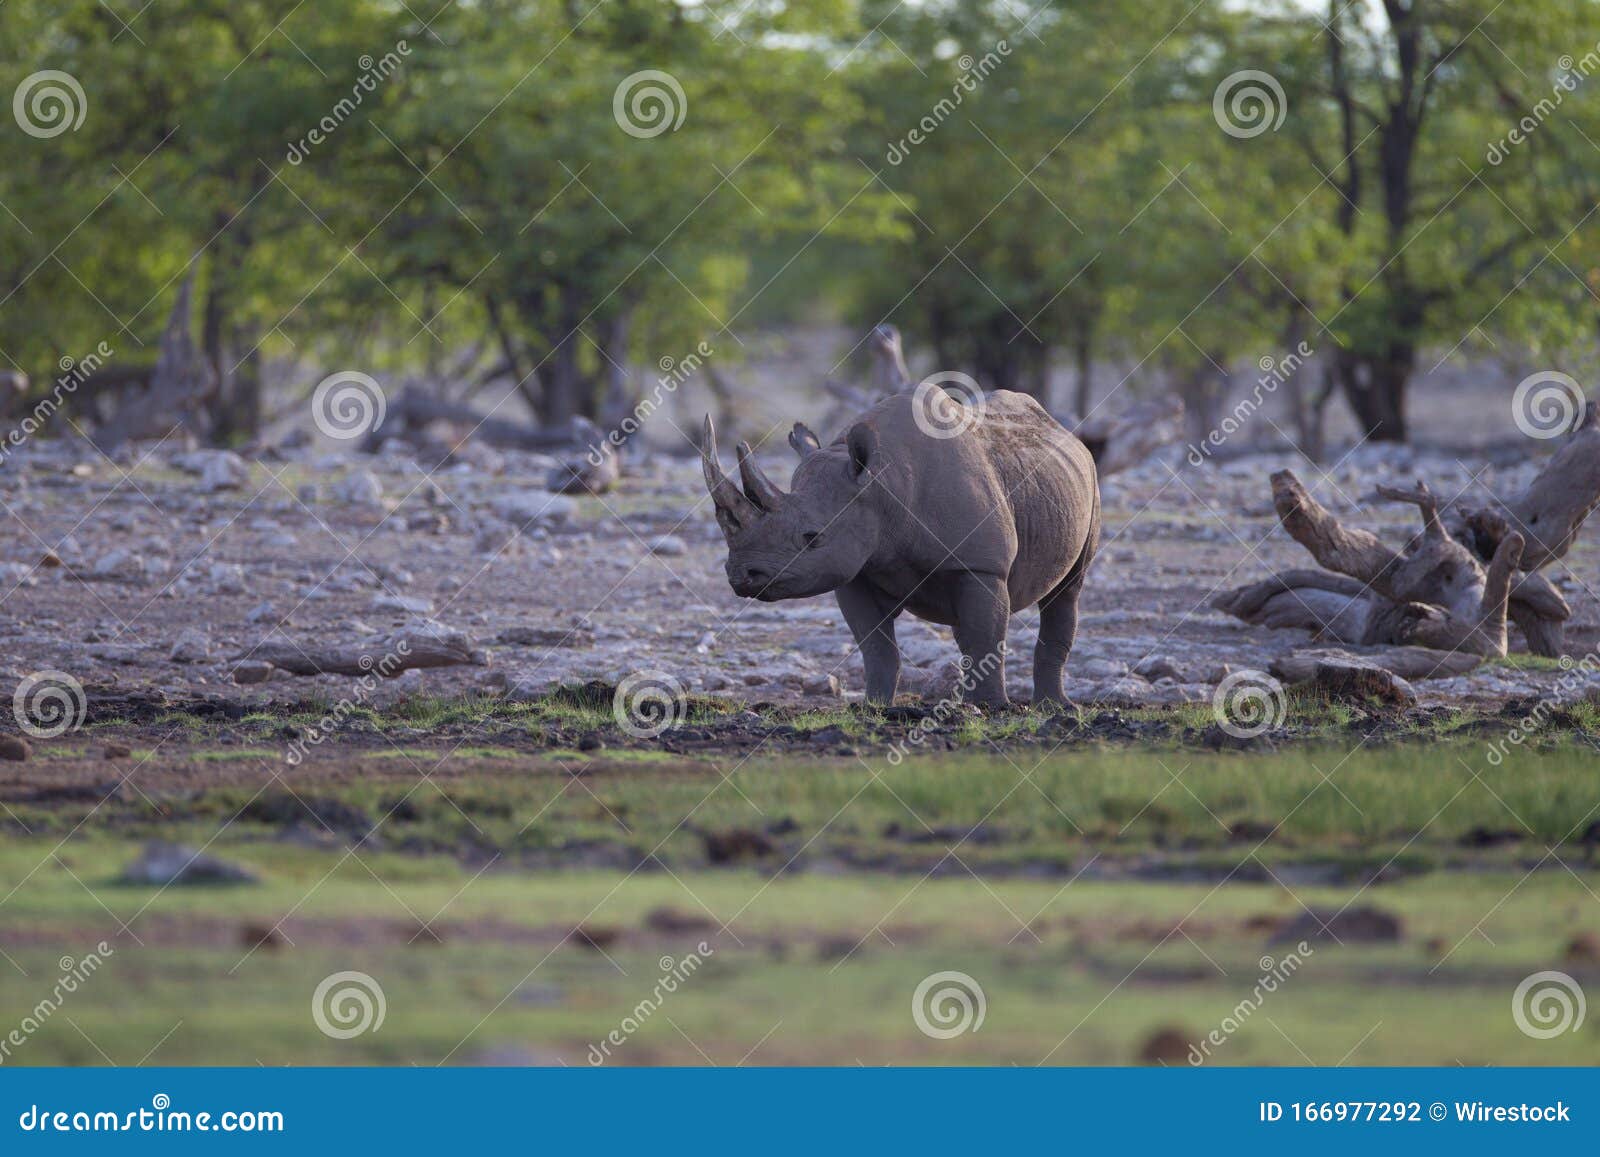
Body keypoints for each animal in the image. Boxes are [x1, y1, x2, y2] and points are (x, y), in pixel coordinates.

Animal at [701, 389, 1099, 707]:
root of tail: (1063, 430)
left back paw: (1056, 708)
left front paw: (993, 709)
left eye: (811, 537)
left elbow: (987, 638)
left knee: (1066, 591)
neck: (881, 486)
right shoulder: (856, 569)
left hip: (1089, 480)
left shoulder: (981, 566)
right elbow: (876, 647)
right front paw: (872, 707)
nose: (742, 575)